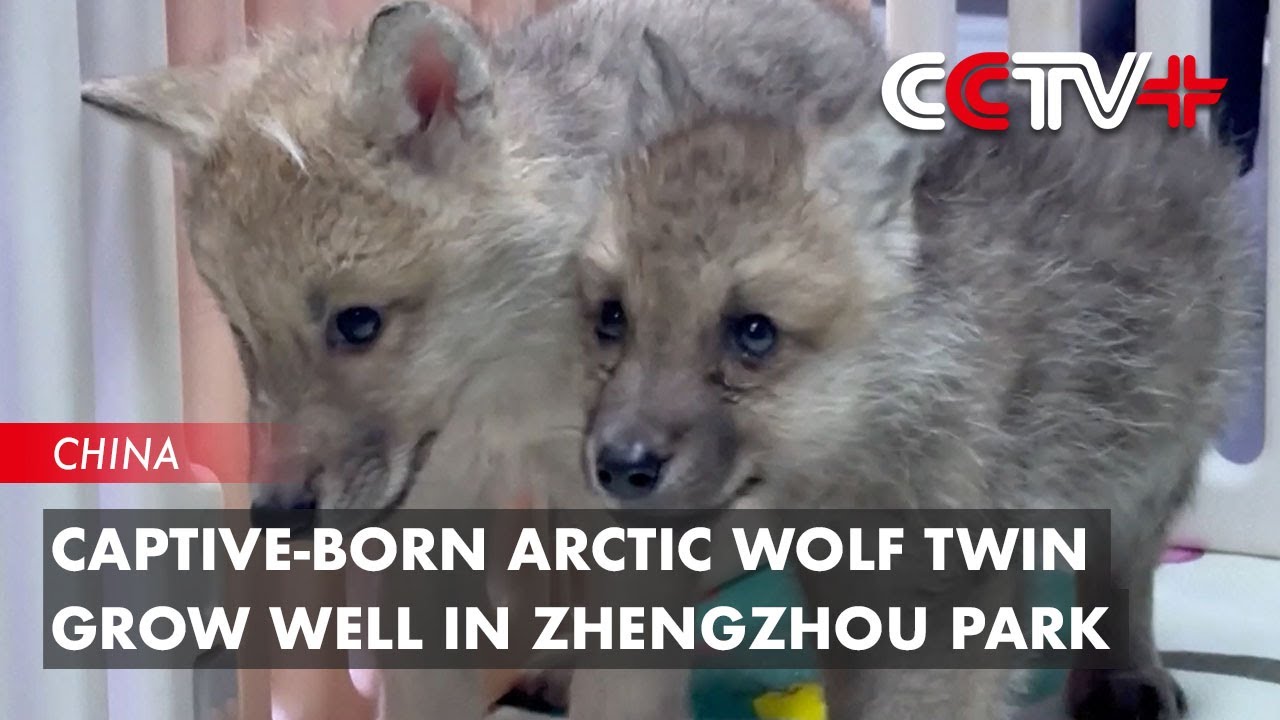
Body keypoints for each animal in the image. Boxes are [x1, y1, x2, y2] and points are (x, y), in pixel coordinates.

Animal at [576, 45, 1255, 720]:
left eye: (754, 332)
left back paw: (1125, 676)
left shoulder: (952, 593)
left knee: (1124, 571)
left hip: (1149, 466)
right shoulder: (847, 590)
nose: (619, 467)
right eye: (612, 317)